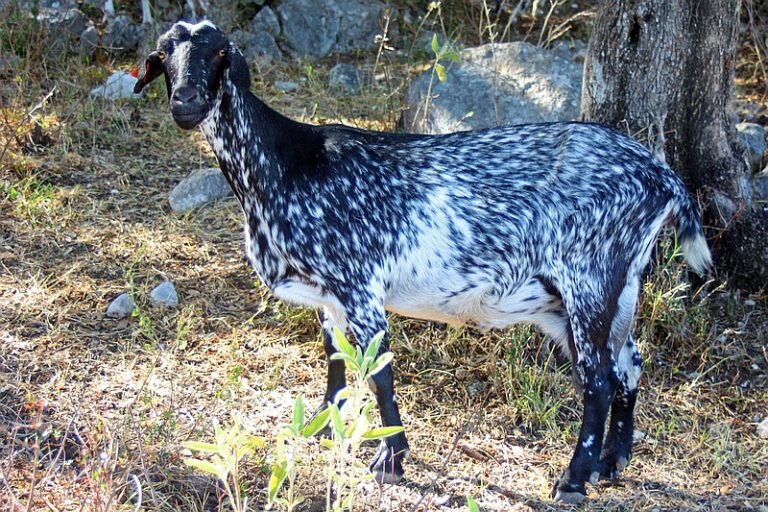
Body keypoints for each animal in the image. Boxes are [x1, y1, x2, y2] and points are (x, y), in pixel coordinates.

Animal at [134, 21, 712, 503]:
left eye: (219, 54)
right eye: (164, 55)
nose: (186, 103)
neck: (289, 163)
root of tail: (663, 177)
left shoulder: (360, 285)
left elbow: (380, 373)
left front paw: (390, 460)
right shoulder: (327, 295)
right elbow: (336, 362)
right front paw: (320, 428)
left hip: (588, 278)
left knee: (598, 380)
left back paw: (572, 480)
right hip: (612, 288)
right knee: (629, 363)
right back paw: (612, 462)